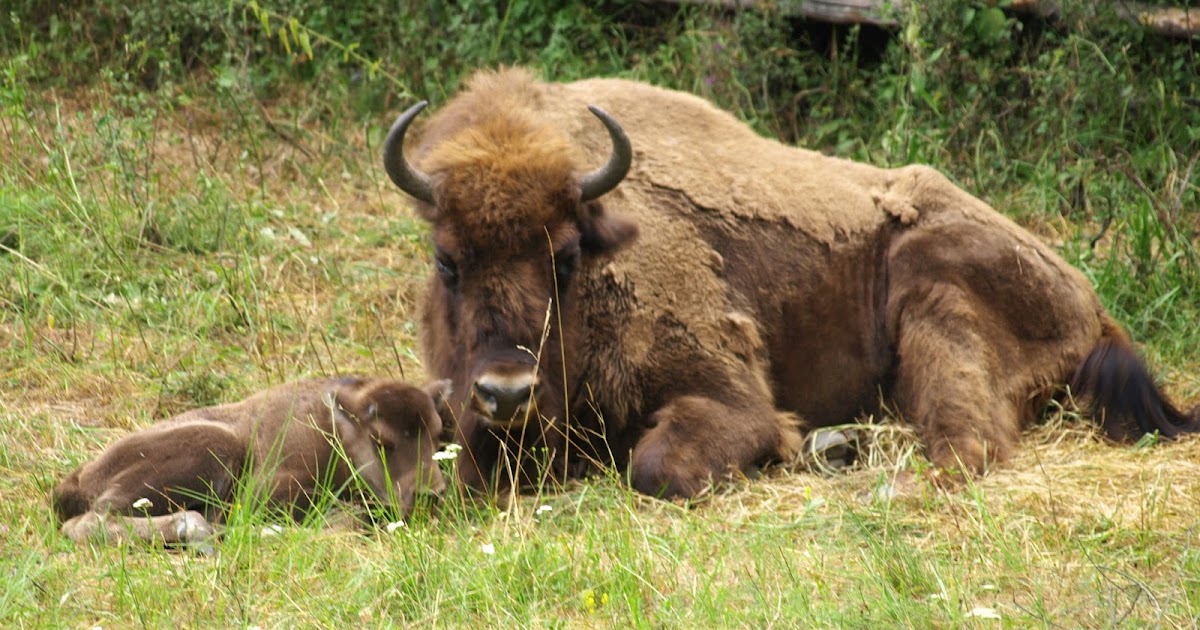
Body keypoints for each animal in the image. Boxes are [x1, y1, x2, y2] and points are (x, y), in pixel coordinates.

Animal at [54, 377, 449, 544]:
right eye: (382, 441)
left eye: (436, 433)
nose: (431, 494)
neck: (334, 428)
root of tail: (79, 477)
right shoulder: (264, 491)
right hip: (215, 448)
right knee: (89, 522)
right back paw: (195, 529)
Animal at [382, 67, 1198, 498]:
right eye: (447, 260)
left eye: (565, 255)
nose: (506, 393)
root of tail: (1090, 302)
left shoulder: (728, 395)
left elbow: (660, 465)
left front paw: (779, 448)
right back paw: (839, 445)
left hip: (935, 298)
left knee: (967, 445)